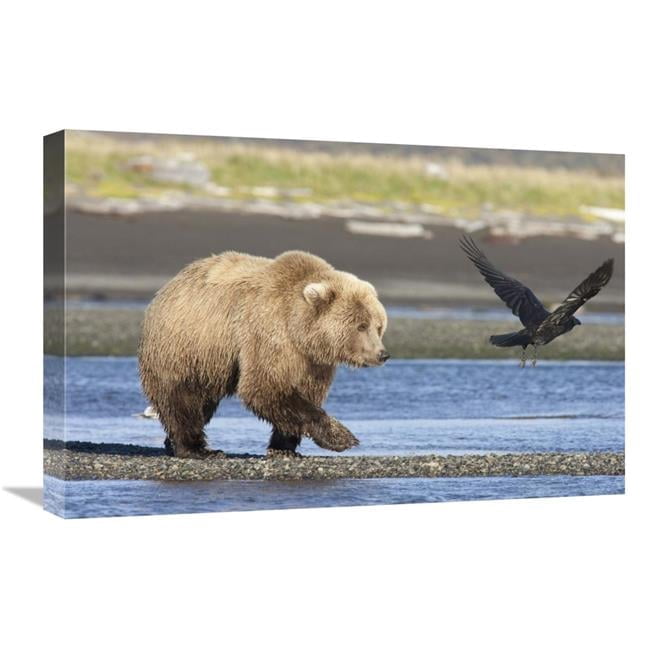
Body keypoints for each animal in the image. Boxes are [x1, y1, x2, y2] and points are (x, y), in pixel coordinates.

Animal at [138, 250, 389, 458]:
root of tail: (167, 286)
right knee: (182, 398)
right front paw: (342, 437)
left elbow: (304, 393)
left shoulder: (312, 362)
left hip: (209, 361)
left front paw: (284, 447)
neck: (298, 329)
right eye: (361, 326)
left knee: (202, 403)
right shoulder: (267, 335)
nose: (382, 354)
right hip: (186, 346)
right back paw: (196, 449)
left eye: (378, 326)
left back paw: (173, 443)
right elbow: (263, 388)